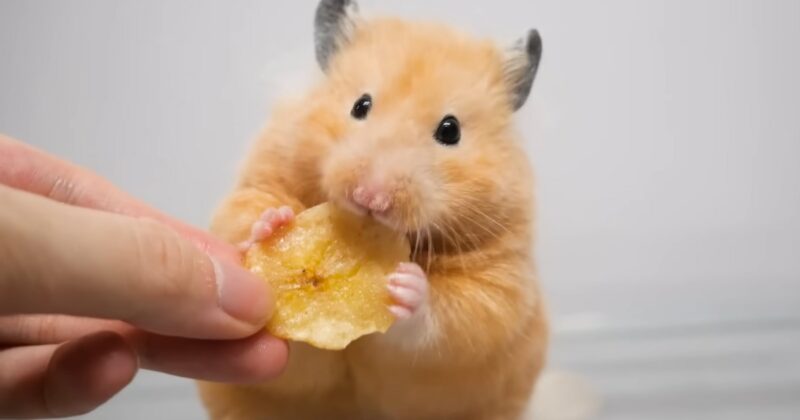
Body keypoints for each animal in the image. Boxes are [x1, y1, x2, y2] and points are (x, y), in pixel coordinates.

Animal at [197, 1, 548, 419]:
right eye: (360, 105)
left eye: (451, 130)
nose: (370, 198)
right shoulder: (259, 181)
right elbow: (243, 215)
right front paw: (273, 223)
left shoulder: (498, 282)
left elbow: (453, 319)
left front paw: (409, 287)